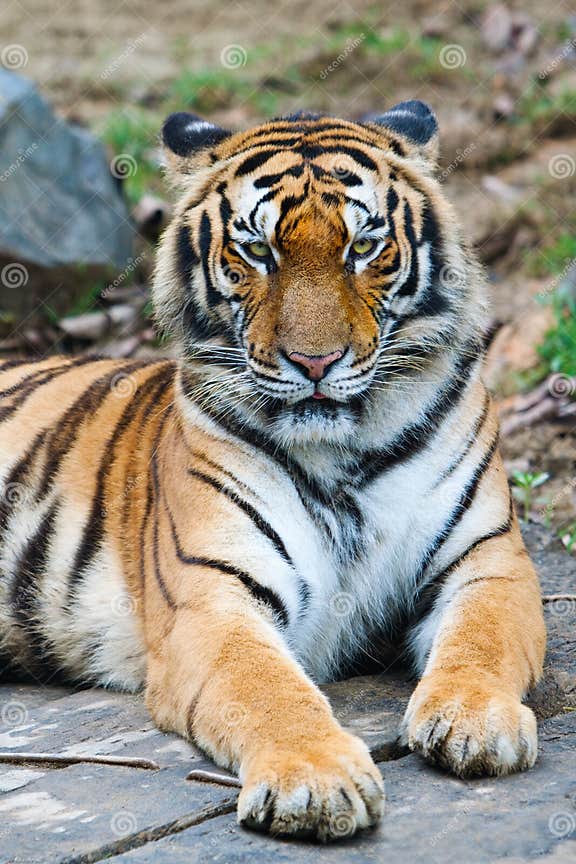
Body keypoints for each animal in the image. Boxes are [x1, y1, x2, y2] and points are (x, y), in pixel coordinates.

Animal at [0, 101, 546, 842]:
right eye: (258, 252)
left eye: (363, 247)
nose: (315, 362)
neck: (344, 451)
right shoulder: (212, 598)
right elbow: (267, 688)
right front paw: (313, 782)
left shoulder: (488, 559)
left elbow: (481, 641)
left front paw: (476, 722)